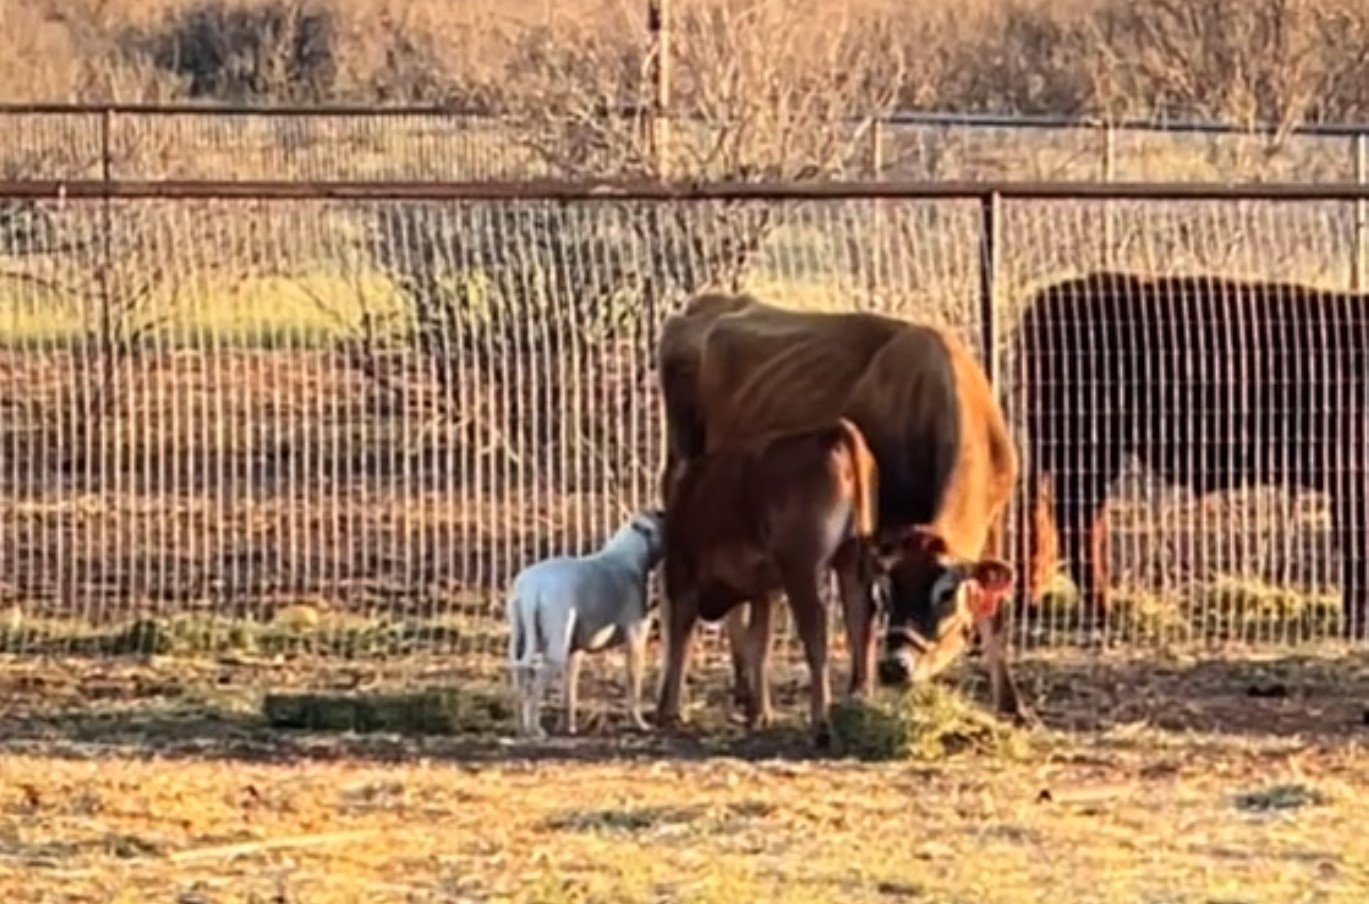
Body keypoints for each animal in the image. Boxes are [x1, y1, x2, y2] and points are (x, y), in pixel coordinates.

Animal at [656, 417, 889, 747]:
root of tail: (832, 433)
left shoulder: (684, 575)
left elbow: (680, 641)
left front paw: (670, 711)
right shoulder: (766, 589)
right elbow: (759, 643)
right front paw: (760, 714)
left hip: (803, 572)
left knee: (816, 639)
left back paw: (821, 725)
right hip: (850, 563)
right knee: (861, 623)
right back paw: (859, 704)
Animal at [1016, 271, 1369, 637]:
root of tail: (1047, 299)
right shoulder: (1352, 476)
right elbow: (1358, 546)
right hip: (1088, 449)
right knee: (1076, 520)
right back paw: (1103, 611)